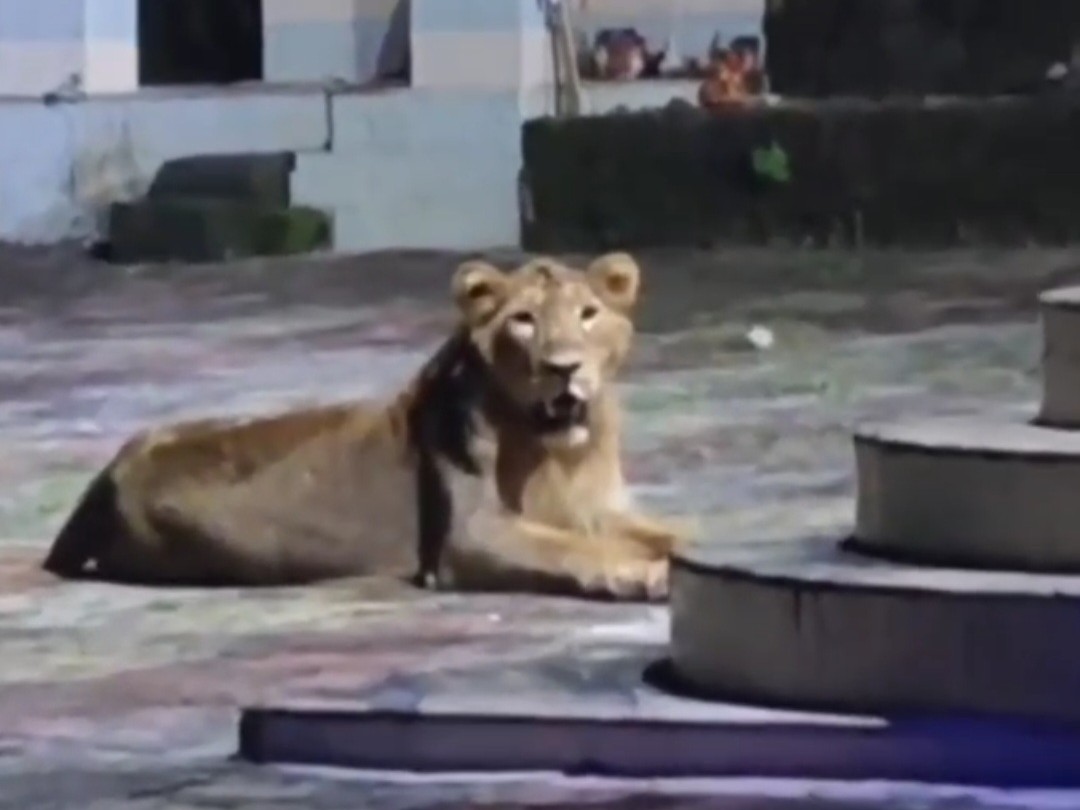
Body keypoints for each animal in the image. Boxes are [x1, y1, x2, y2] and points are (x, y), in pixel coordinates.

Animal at [41, 253, 686, 600]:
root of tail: (109, 472)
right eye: (524, 320)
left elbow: (675, 534)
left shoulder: (602, 507)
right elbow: (576, 550)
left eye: (588, 314)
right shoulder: (468, 537)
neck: (564, 451)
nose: (563, 367)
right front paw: (646, 575)